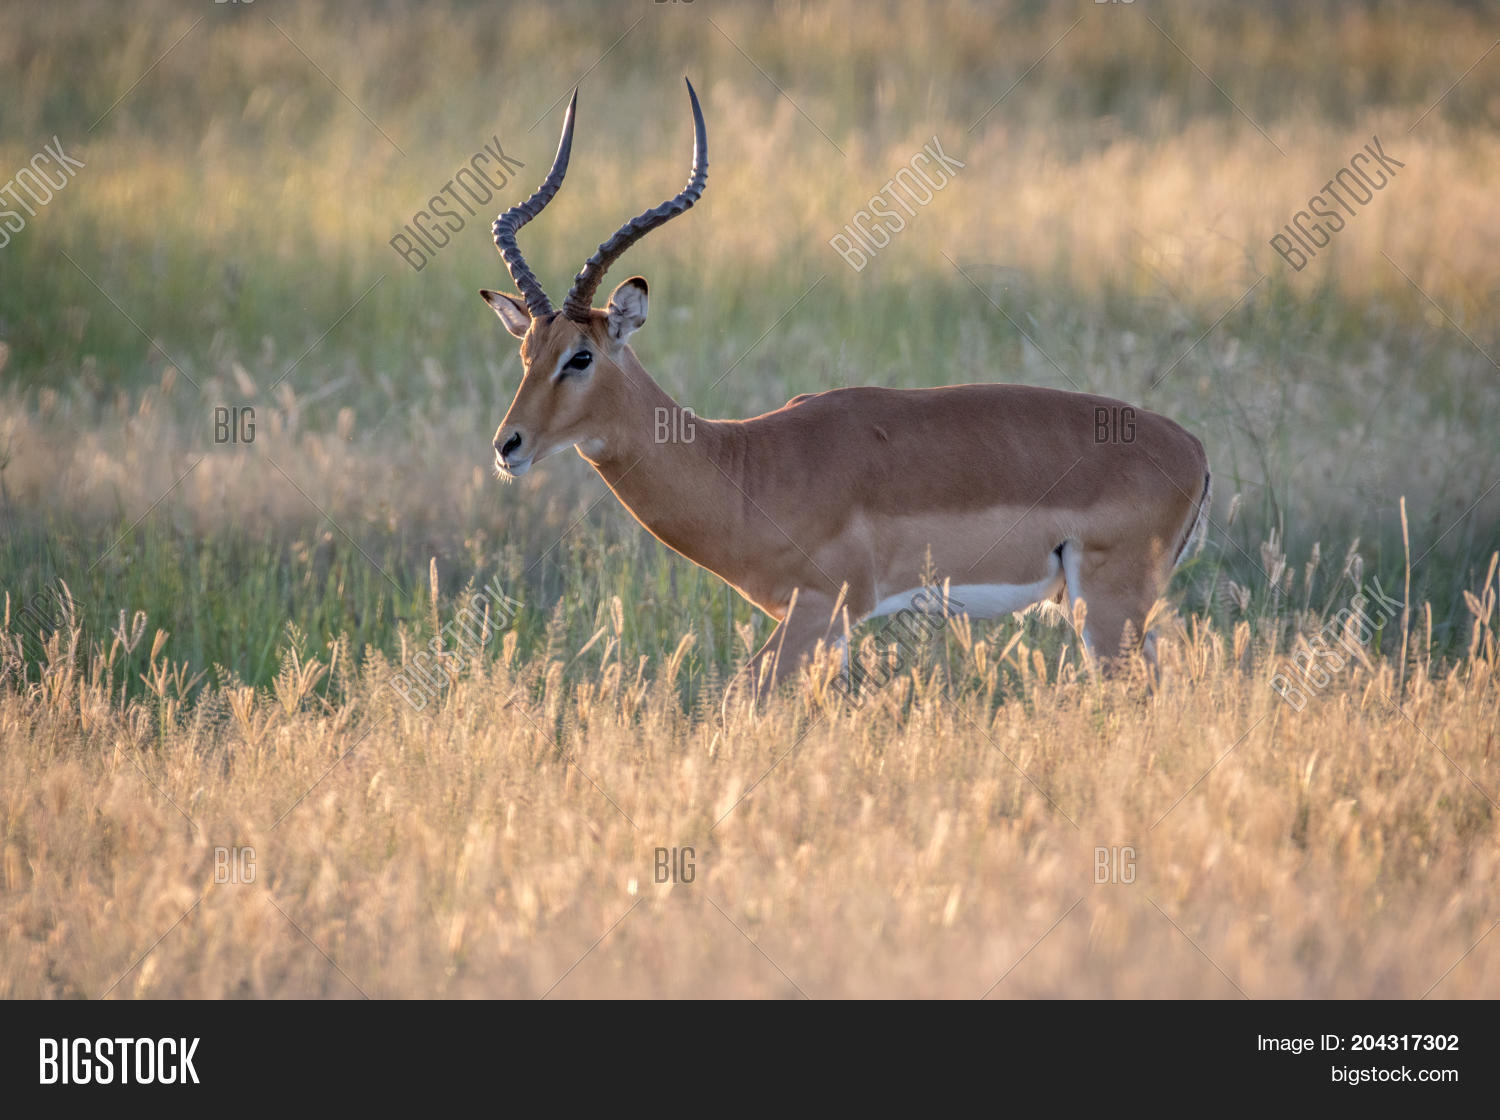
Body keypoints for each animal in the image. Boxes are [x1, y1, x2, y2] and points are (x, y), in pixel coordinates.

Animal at [483, 80, 1210, 698]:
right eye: (526, 352)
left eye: (580, 357)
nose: (507, 446)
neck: (744, 467)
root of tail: (1194, 448)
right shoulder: (822, 629)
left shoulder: (821, 611)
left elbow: (741, 695)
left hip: (1108, 612)